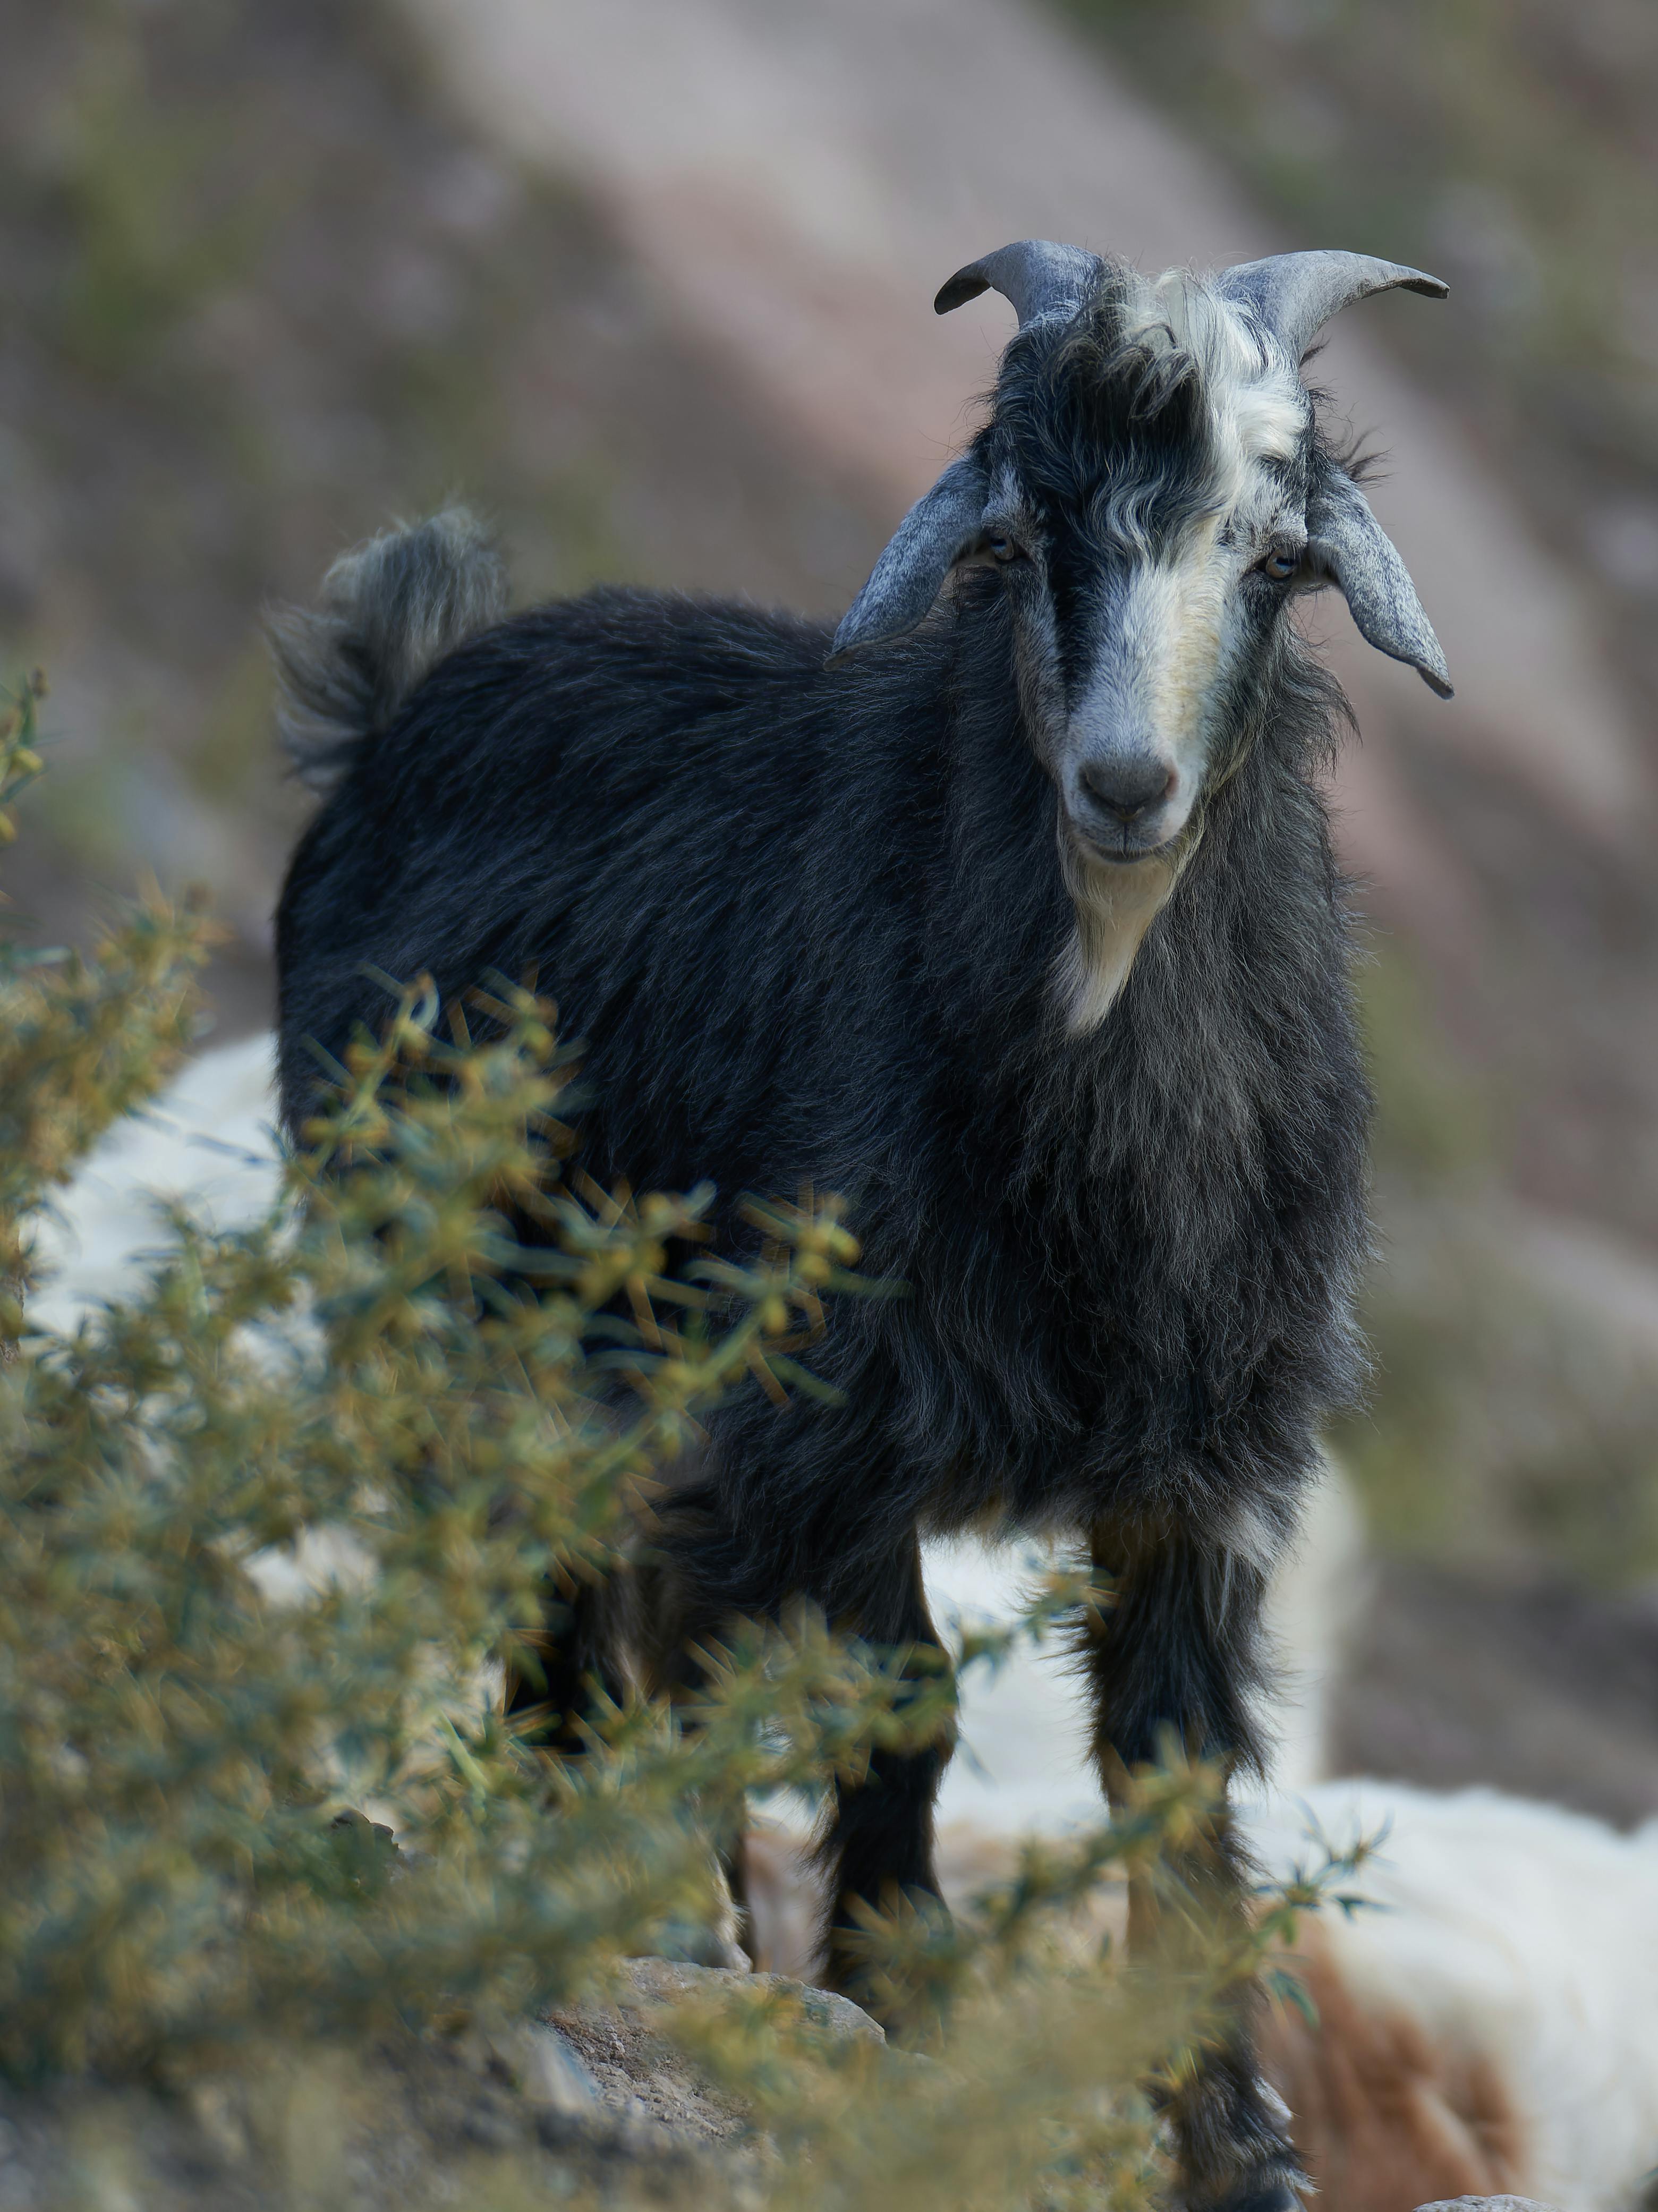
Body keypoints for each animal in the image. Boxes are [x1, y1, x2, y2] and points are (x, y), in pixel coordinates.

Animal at [271, 241, 1451, 2212]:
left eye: (1273, 557)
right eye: (1023, 527)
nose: (1123, 786)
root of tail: (397, 695)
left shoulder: (1199, 1474)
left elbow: (1173, 1773)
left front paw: (1233, 2137)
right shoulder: (826, 1427)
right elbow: (907, 1713)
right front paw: (903, 2003)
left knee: (651, 1630)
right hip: (497, 1339)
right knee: (559, 1600)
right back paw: (619, 1895)